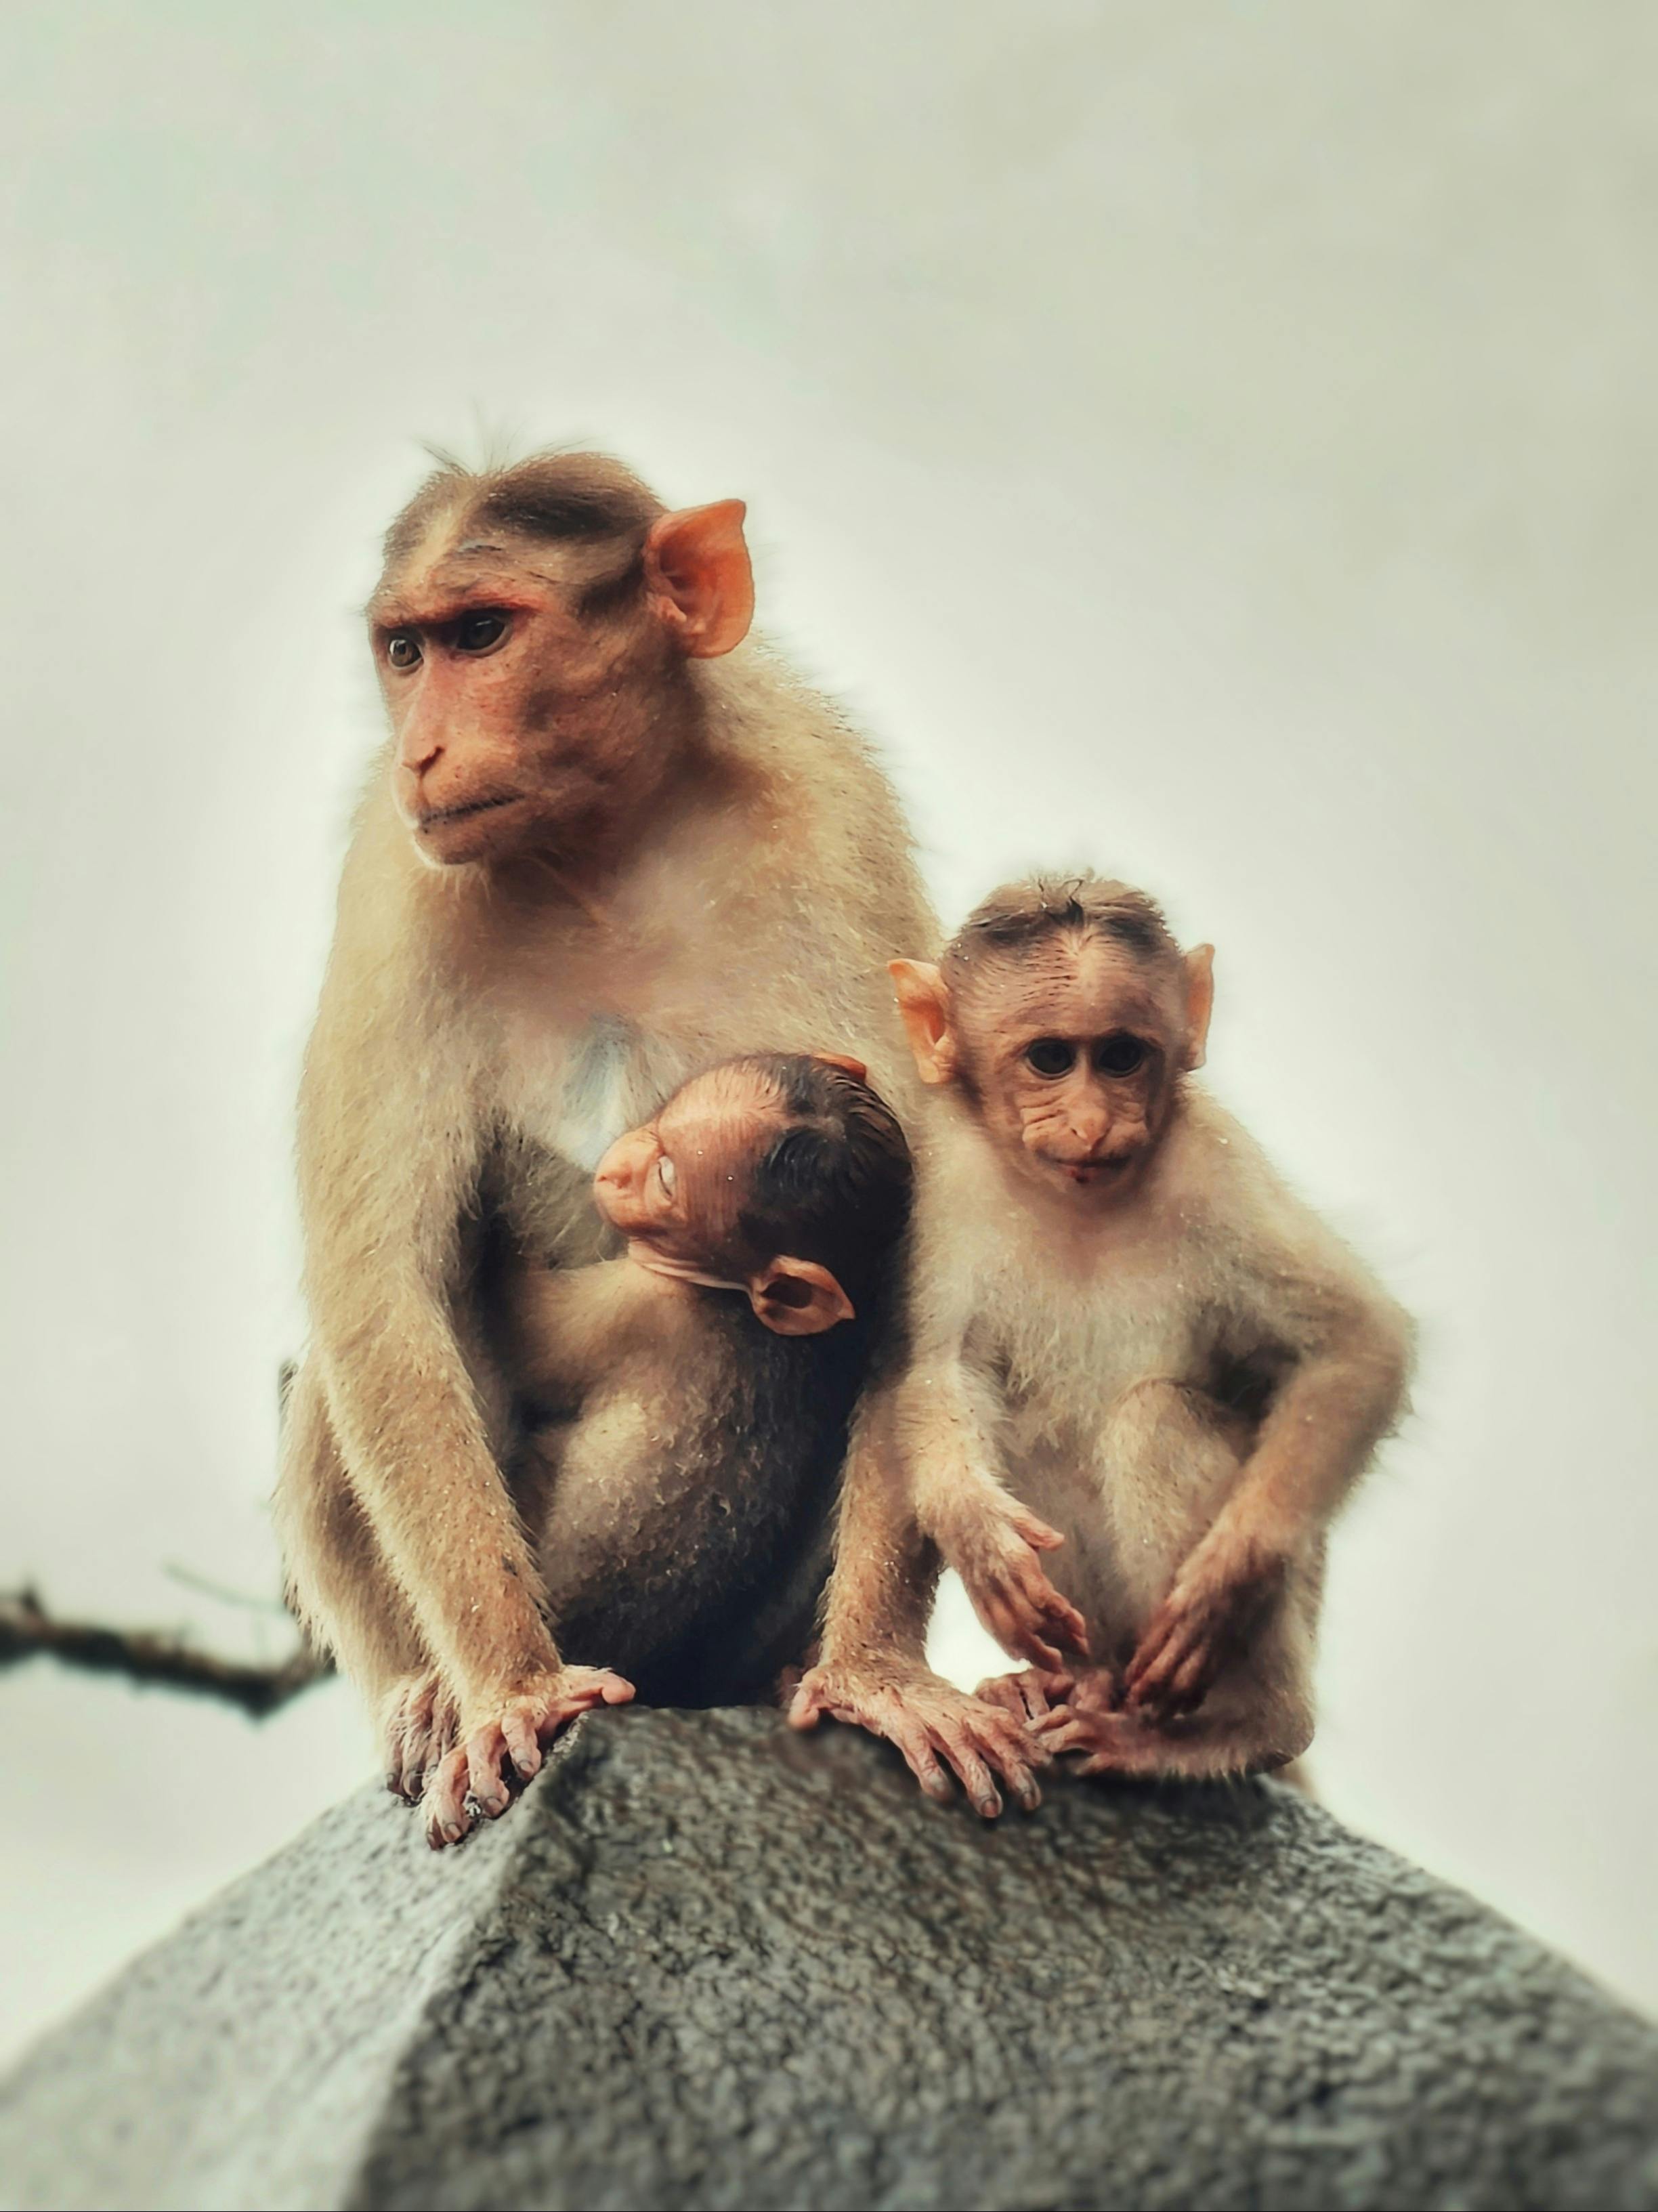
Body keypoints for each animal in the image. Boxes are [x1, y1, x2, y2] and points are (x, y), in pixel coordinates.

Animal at [390, 1051, 916, 1846]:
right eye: (665, 1117)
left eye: (667, 1177)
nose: (620, 1161)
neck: (729, 1298)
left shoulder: (632, 1307)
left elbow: (521, 1317)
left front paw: (493, 1204)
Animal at [790, 874, 1413, 1798]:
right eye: (1051, 1057)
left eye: (1121, 1056)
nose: (1091, 1121)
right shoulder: (942, 1176)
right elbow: (932, 1368)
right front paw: (972, 1529)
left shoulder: (1213, 1161)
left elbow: (1360, 1342)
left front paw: (1224, 1583)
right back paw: (1035, 1681)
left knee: (1154, 1418)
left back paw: (1241, 1725)